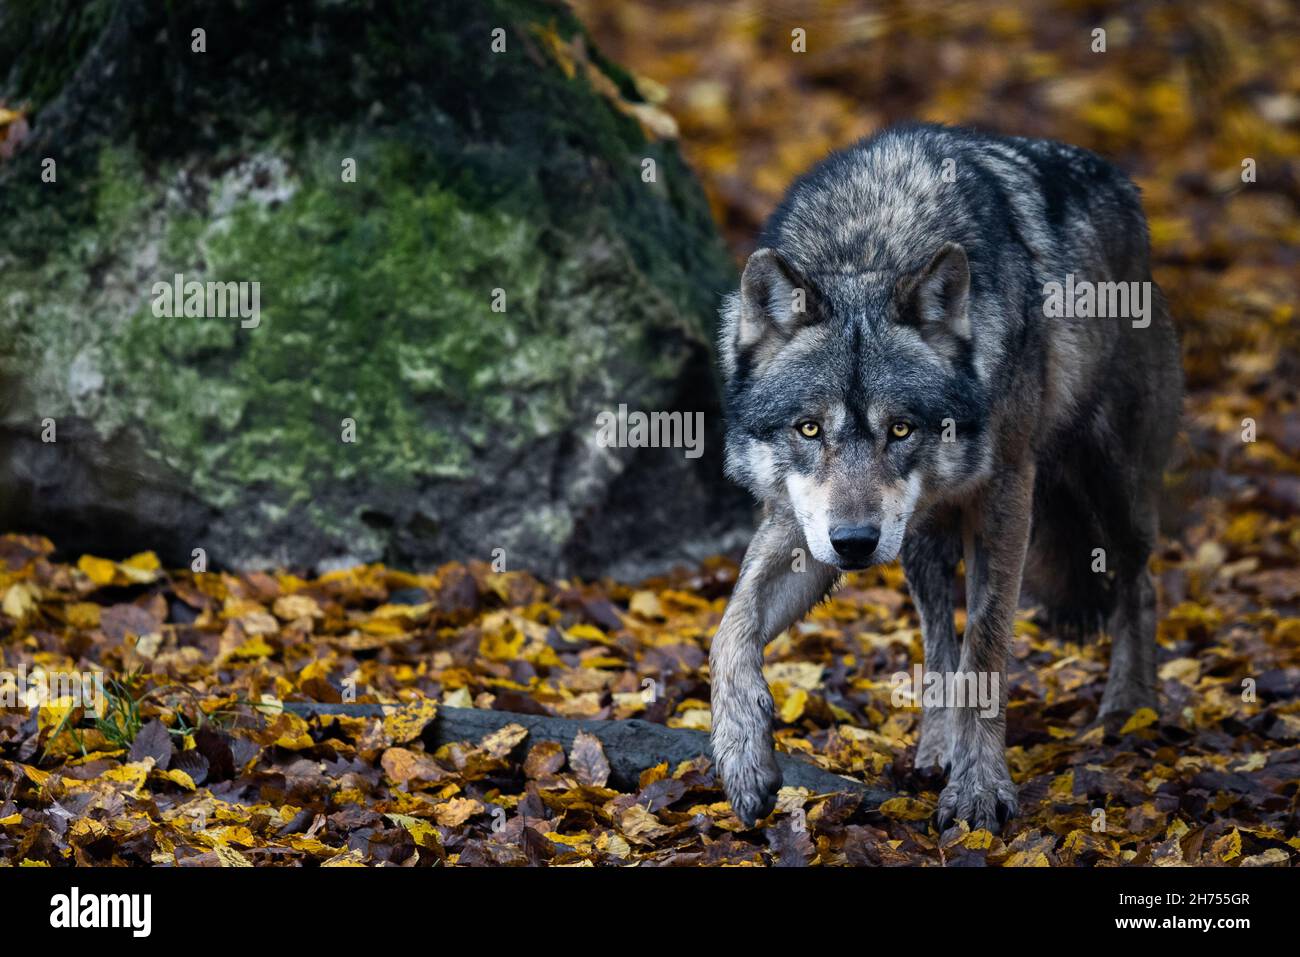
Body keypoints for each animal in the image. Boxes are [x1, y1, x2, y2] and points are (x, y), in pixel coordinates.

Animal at [709, 123, 1182, 830]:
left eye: (902, 429)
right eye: (809, 430)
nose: (855, 543)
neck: (870, 246)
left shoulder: (1006, 495)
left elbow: (985, 648)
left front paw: (980, 789)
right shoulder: (802, 523)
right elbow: (729, 629)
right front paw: (742, 756)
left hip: (1114, 484)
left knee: (1138, 581)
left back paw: (1131, 705)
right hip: (918, 541)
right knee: (936, 639)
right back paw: (935, 747)